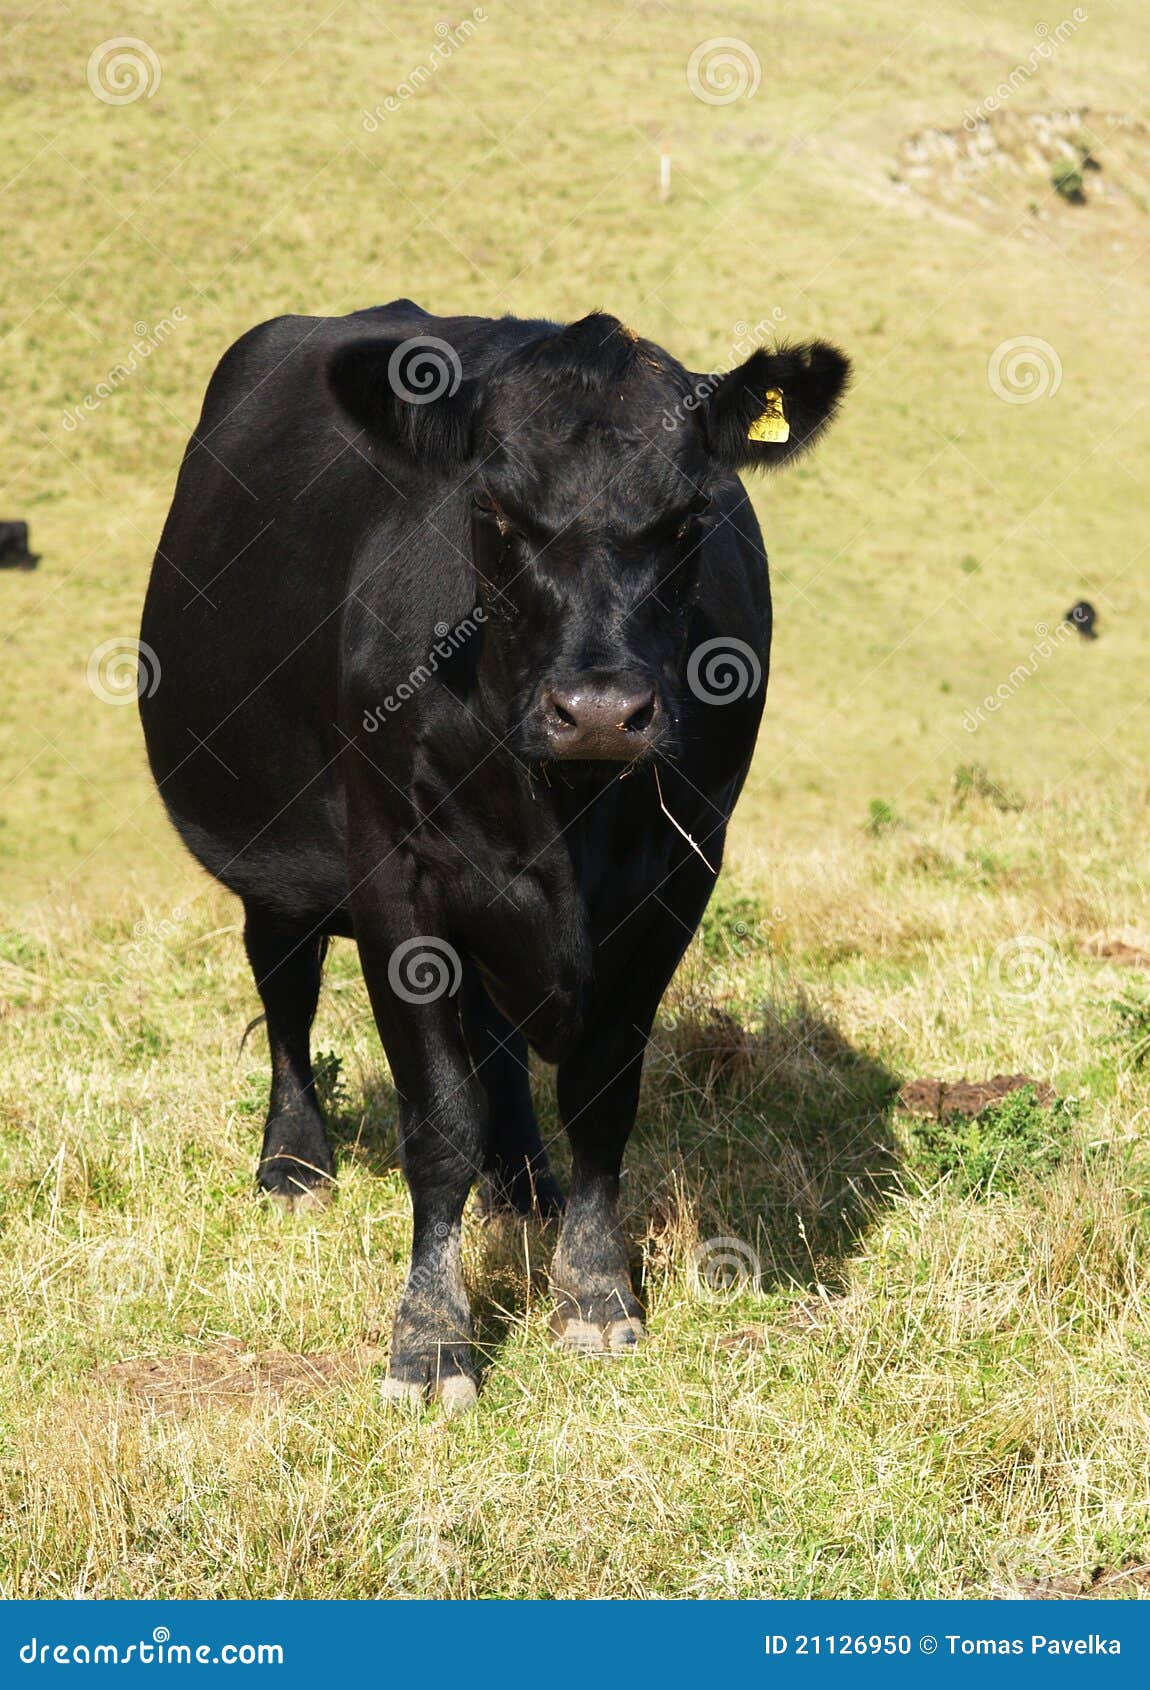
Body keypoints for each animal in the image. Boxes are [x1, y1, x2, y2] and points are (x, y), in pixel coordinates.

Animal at [139, 302, 849, 1413]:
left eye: (688, 516)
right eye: (496, 510)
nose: (598, 710)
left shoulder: (682, 869)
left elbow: (601, 1091)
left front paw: (594, 1290)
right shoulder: (395, 872)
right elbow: (439, 1118)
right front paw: (431, 1340)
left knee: (497, 1035)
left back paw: (521, 1183)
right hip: (276, 856)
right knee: (286, 985)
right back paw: (294, 1163)